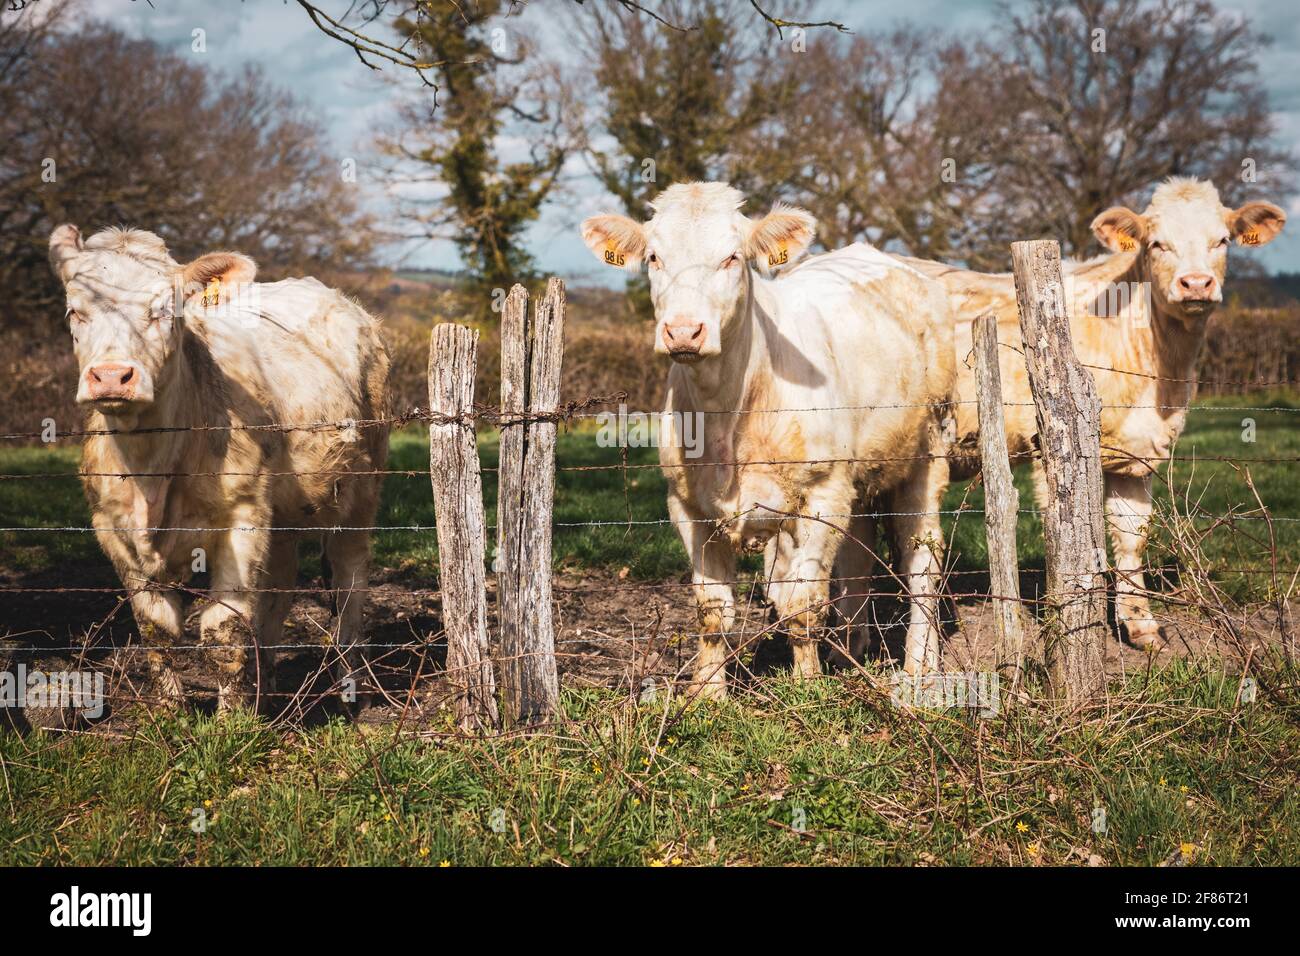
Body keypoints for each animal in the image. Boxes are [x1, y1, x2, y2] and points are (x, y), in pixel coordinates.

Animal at [48, 224, 390, 711]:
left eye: (166, 310)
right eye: (74, 311)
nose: (112, 376)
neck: (150, 470)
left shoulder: (242, 517)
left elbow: (223, 630)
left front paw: (233, 718)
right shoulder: (111, 528)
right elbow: (157, 629)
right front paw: (170, 712)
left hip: (361, 492)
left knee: (349, 584)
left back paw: (348, 687)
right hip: (284, 511)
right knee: (279, 586)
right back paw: (265, 684)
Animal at [581, 182, 956, 699]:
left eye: (732, 257)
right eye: (654, 256)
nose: (683, 331)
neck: (728, 412)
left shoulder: (821, 492)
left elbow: (802, 603)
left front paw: (807, 688)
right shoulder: (687, 504)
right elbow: (713, 610)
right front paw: (708, 694)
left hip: (929, 450)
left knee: (921, 559)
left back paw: (920, 665)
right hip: (858, 478)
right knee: (858, 556)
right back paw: (849, 652)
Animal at [899, 177, 1287, 649]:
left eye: (1223, 240)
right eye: (1157, 243)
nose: (1196, 284)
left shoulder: (1135, 451)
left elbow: (1132, 535)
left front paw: (1141, 625)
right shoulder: (1051, 444)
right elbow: (1068, 537)